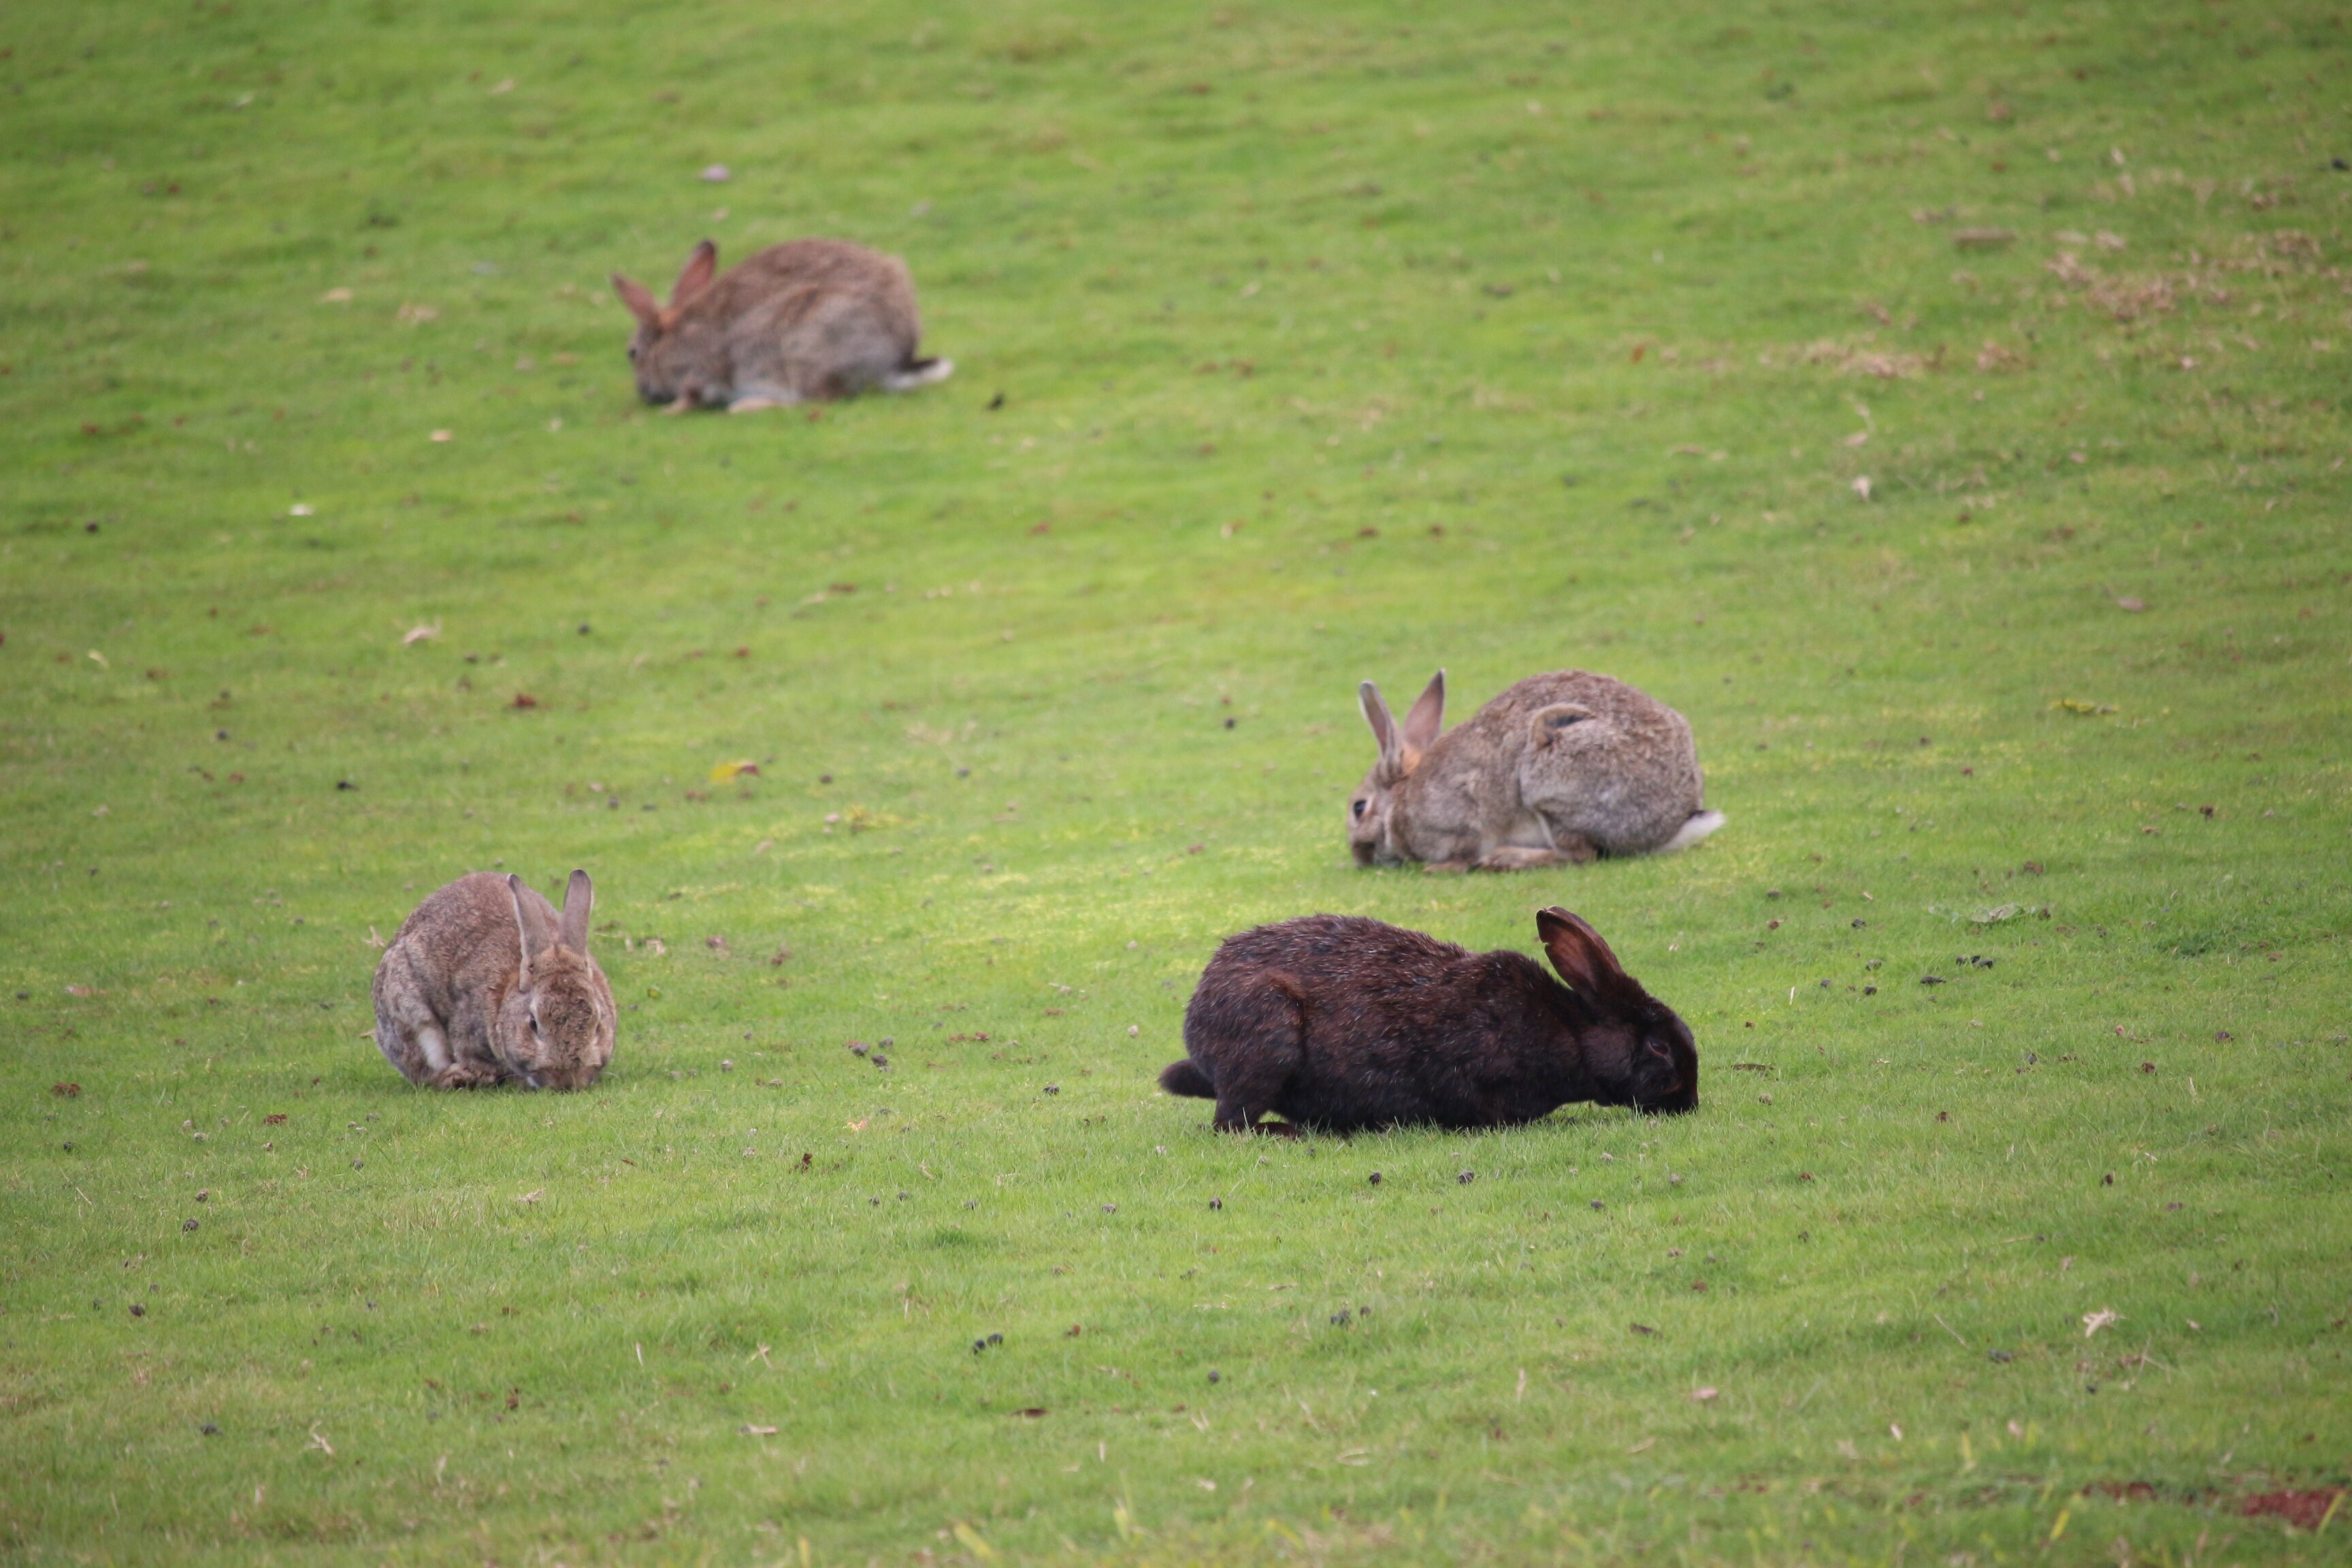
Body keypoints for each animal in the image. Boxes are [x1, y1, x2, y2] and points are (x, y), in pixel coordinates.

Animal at [610, 237, 953, 413]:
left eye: (632, 353)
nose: (644, 393)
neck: (671, 340)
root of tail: (895, 361)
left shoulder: (701, 369)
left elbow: (694, 393)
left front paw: (671, 410)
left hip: (803, 344)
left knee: (816, 397)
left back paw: (749, 405)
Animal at [1160, 907, 1697, 1133]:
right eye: (1659, 1047)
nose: (1688, 1103)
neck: (1574, 1034)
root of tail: (1196, 1021)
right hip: (1268, 1040)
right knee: (1231, 1123)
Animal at [1348, 669, 1724, 871]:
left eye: (1358, 807)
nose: (1357, 855)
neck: (1400, 800)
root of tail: (1675, 820)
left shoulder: (1462, 816)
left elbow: (1463, 850)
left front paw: (1440, 868)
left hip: (1552, 779)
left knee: (1579, 855)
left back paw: (1504, 860)